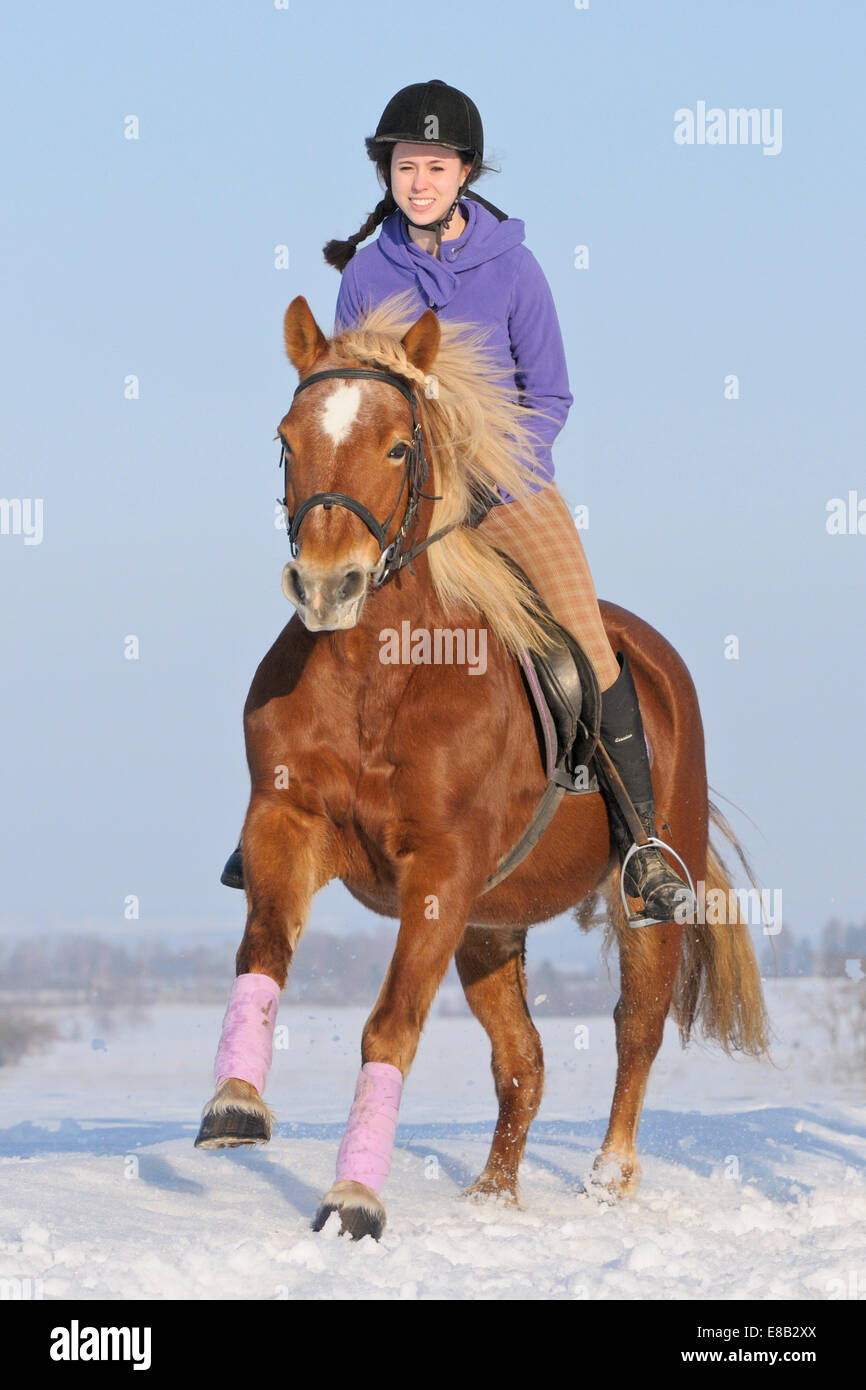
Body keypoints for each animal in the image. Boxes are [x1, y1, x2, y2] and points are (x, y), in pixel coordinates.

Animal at [195, 291, 769, 1241]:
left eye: (399, 445)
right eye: (286, 439)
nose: (326, 586)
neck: (377, 673)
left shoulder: (442, 872)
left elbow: (390, 1026)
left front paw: (353, 1200)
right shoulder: (288, 825)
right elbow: (263, 955)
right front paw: (235, 1102)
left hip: (641, 897)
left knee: (636, 1028)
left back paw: (610, 1180)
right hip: (491, 927)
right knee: (523, 1060)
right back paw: (493, 1197)